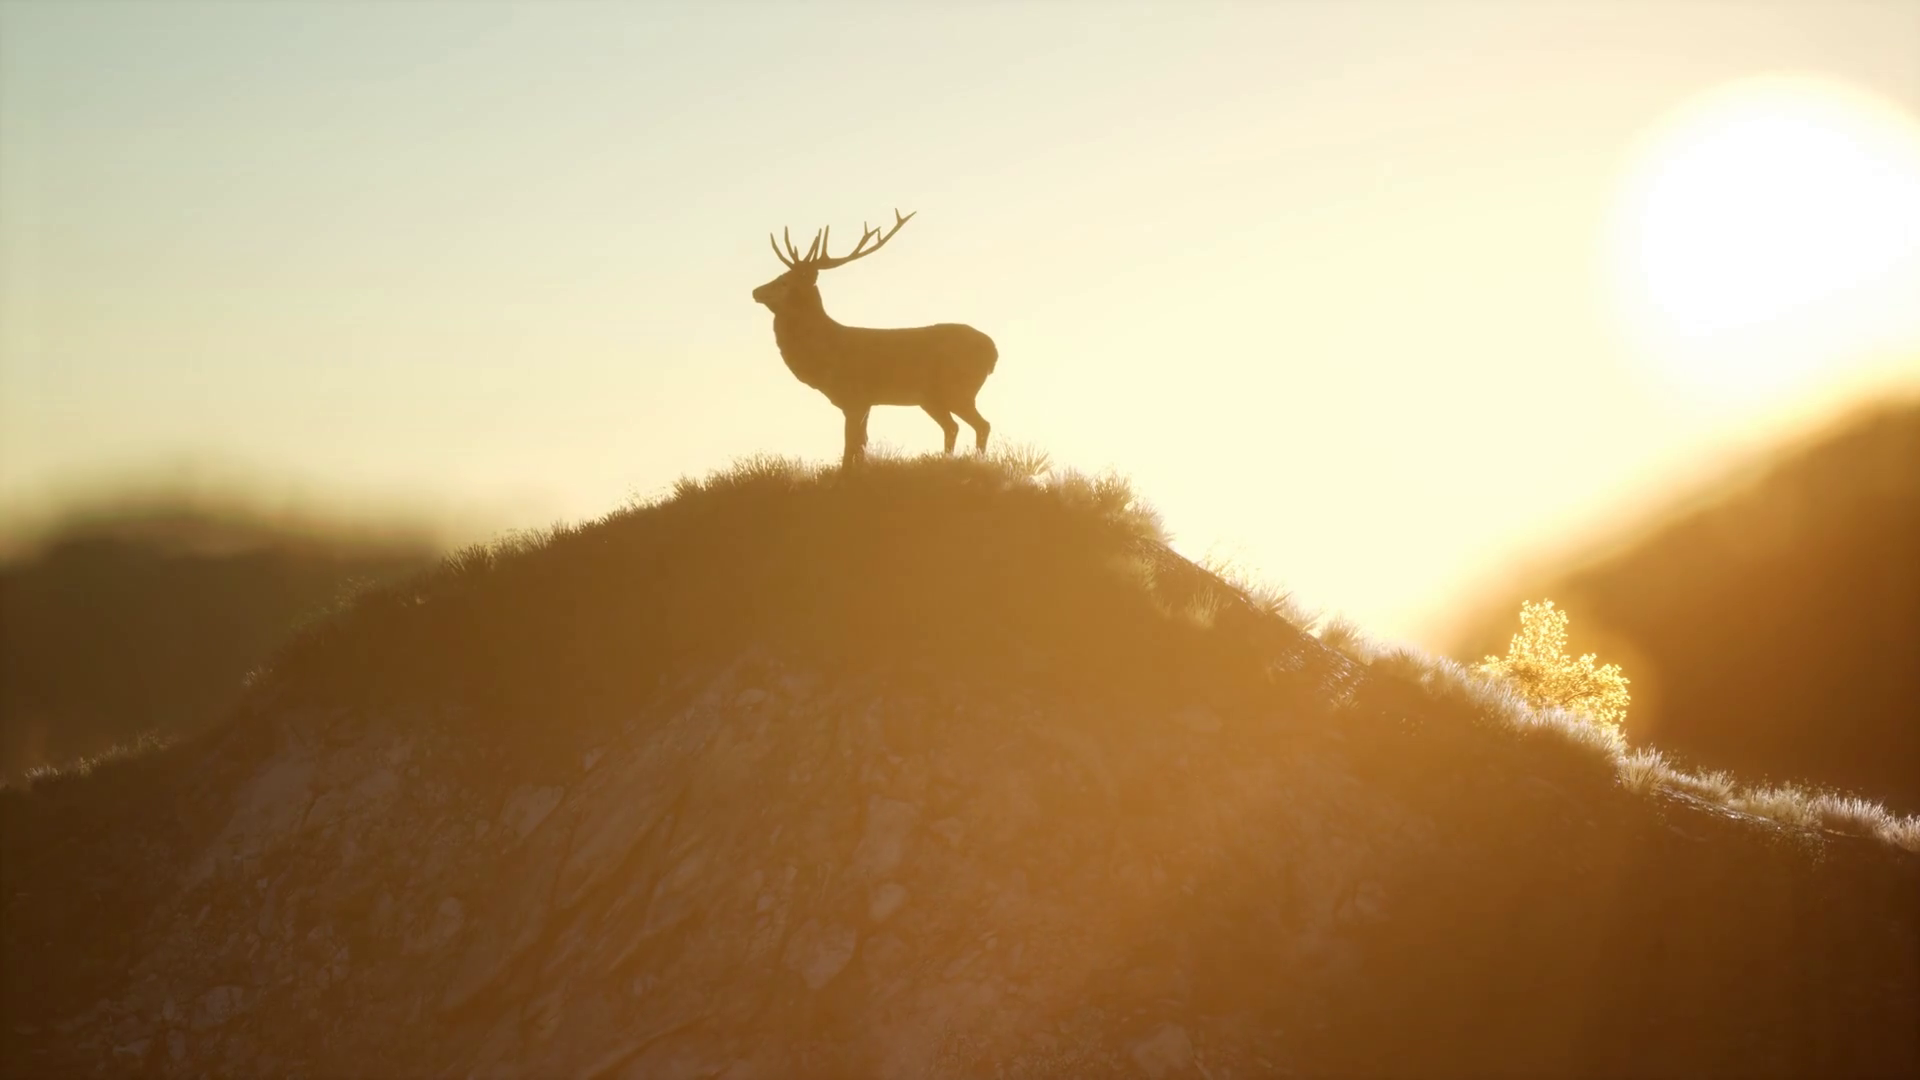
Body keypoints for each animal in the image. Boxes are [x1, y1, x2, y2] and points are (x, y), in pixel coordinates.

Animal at [751, 209, 997, 468]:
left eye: (784, 281)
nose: (755, 291)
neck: (827, 352)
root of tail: (993, 350)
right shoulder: (862, 403)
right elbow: (860, 444)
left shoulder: (856, 397)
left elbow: (851, 446)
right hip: (932, 398)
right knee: (952, 426)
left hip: (959, 389)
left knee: (981, 424)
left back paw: (978, 463)